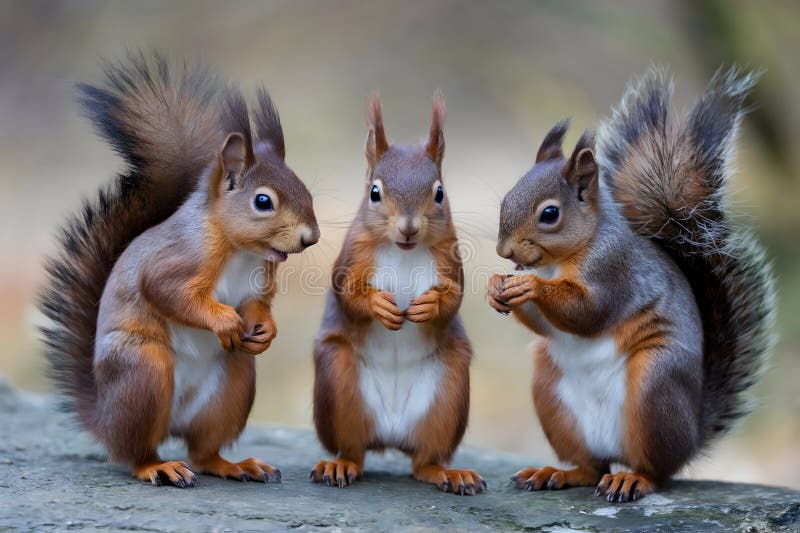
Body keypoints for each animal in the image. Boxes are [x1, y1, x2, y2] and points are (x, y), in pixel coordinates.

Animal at [38, 53, 320, 487]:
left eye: (305, 190)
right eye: (263, 201)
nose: (312, 237)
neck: (240, 250)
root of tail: (104, 418)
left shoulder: (259, 282)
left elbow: (259, 303)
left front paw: (266, 330)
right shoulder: (176, 259)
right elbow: (167, 291)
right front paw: (224, 322)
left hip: (233, 383)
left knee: (203, 452)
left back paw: (236, 465)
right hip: (144, 372)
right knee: (135, 452)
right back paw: (159, 467)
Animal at [310, 92, 485, 495]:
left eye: (440, 193)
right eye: (374, 192)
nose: (408, 227)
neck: (403, 250)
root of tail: (389, 435)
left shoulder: (450, 261)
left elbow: (454, 297)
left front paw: (429, 305)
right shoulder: (351, 259)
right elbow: (347, 296)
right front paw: (379, 305)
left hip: (448, 394)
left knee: (424, 460)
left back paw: (449, 474)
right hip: (338, 383)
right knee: (353, 449)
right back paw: (340, 465)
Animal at [487, 68, 775, 502]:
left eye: (549, 214)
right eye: (506, 197)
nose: (504, 251)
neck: (557, 262)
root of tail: (692, 435)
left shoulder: (614, 269)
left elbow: (588, 312)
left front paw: (530, 287)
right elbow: (545, 324)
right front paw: (494, 285)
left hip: (655, 387)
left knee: (657, 470)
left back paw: (633, 479)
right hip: (551, 392)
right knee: (591, 467)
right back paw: (556, 472)